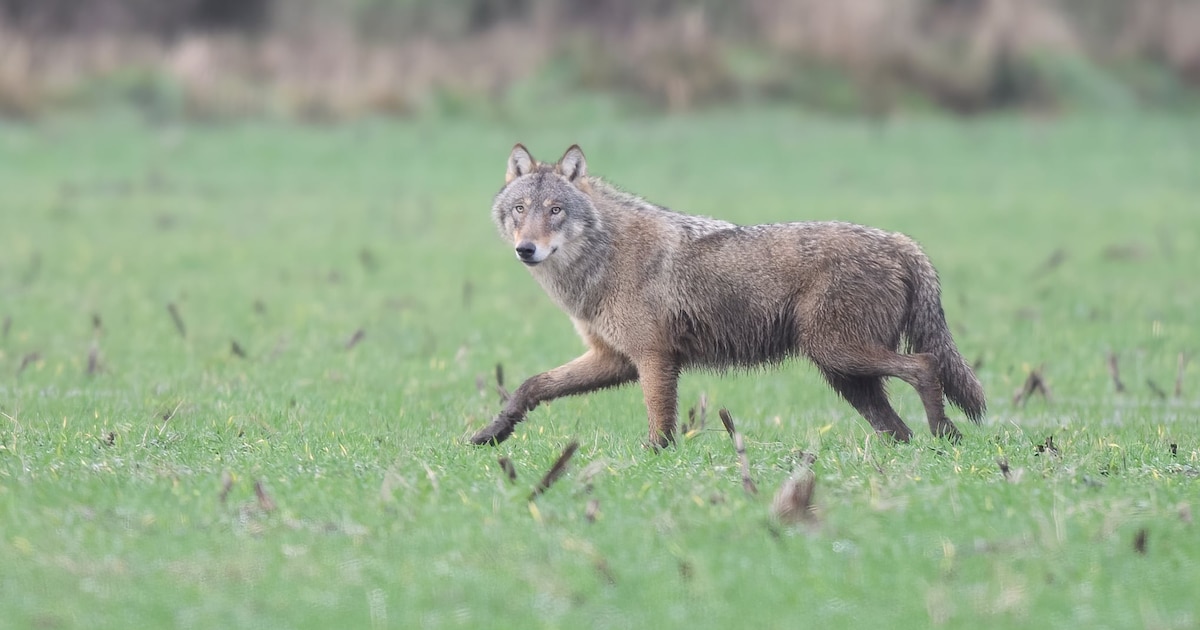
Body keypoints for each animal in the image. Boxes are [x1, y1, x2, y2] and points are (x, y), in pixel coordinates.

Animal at [470, 144, 985, 448]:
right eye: (520, 209)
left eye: (555, 210)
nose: (526, 249)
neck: (600, 261)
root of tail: (901, 241)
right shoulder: (613, 359)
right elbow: (530, 387)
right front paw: (491, 433)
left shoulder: (654, 358)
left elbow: (661, 428)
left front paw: (655, 463)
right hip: (845, 374)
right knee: (900, 429)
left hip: (838, 355)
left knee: (925, 365)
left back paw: (945, 437)